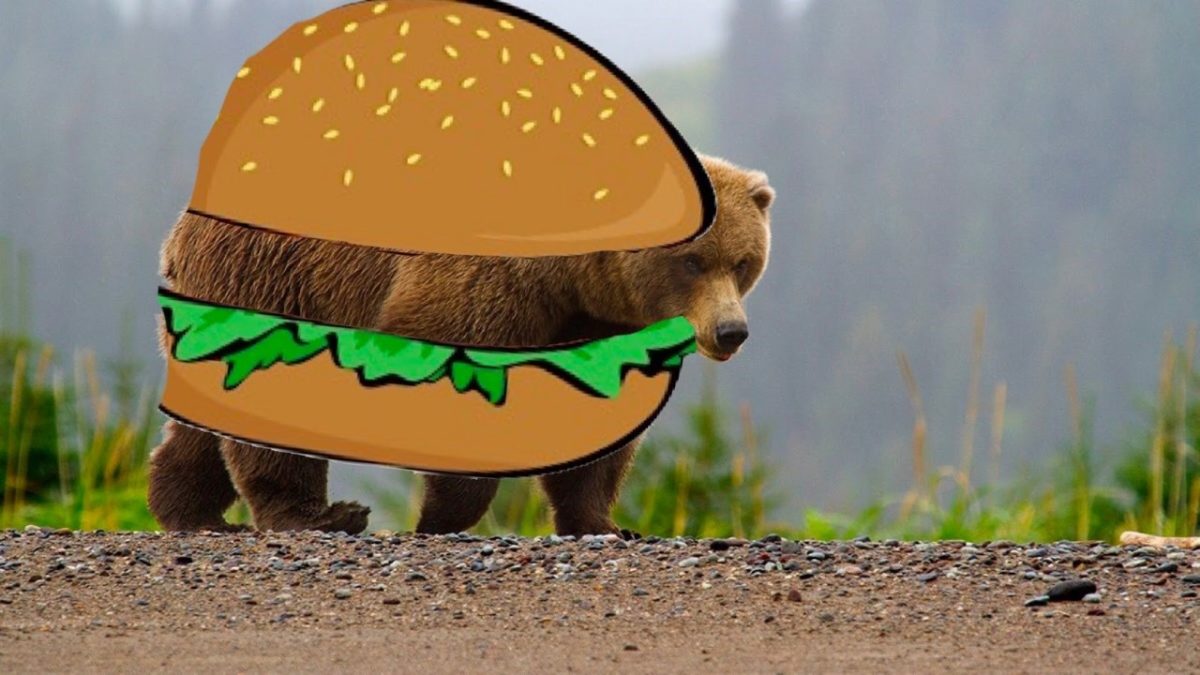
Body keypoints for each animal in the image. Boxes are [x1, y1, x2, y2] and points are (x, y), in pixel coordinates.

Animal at [147, 154, 775, 537]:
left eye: (743, 261)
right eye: (692, 261)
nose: (731, 331)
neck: (569, 281)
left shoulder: (594, 325)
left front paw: (603, 522)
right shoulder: (478, 293)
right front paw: (439, 517)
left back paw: (190, 511)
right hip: (273, 278)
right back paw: (321, 516)